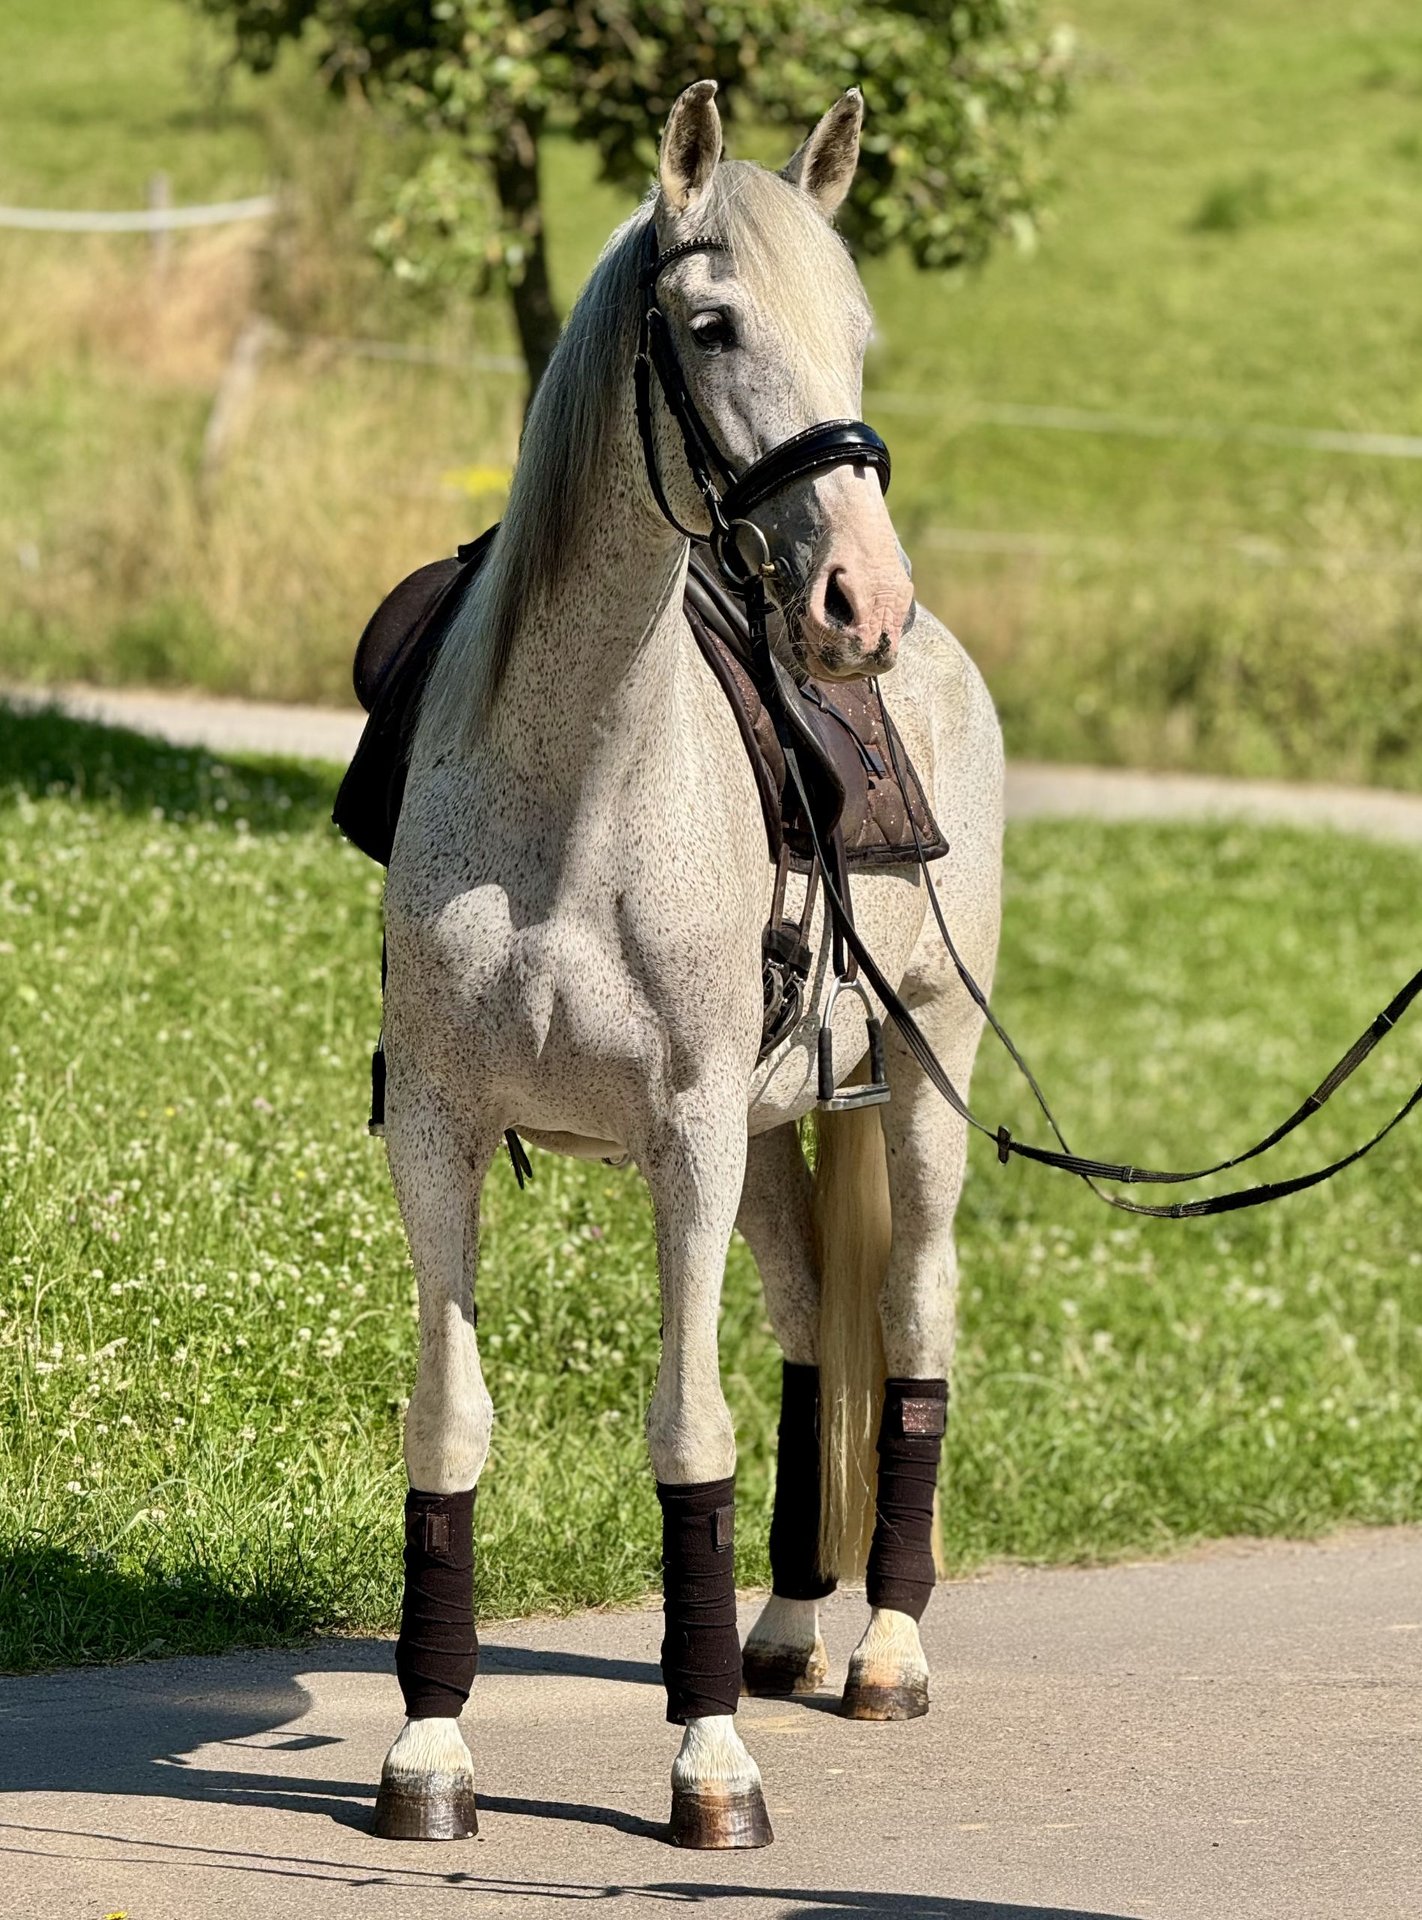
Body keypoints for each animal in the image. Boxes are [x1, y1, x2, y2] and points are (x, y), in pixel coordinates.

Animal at [372, 78, 1004, 1849]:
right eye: (711, 325)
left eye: (856, 335)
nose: (859, 603)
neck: (571, 791)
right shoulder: (436, 1130)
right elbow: (449, 1421)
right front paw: (428, 1749)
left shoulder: (689, 1135)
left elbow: (685, 1424)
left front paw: (708, 1758)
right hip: (790, 1128)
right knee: (807, 1326)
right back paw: (787, 1623)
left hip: (919, 1085)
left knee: (911, 1325)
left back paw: (884, 1645)